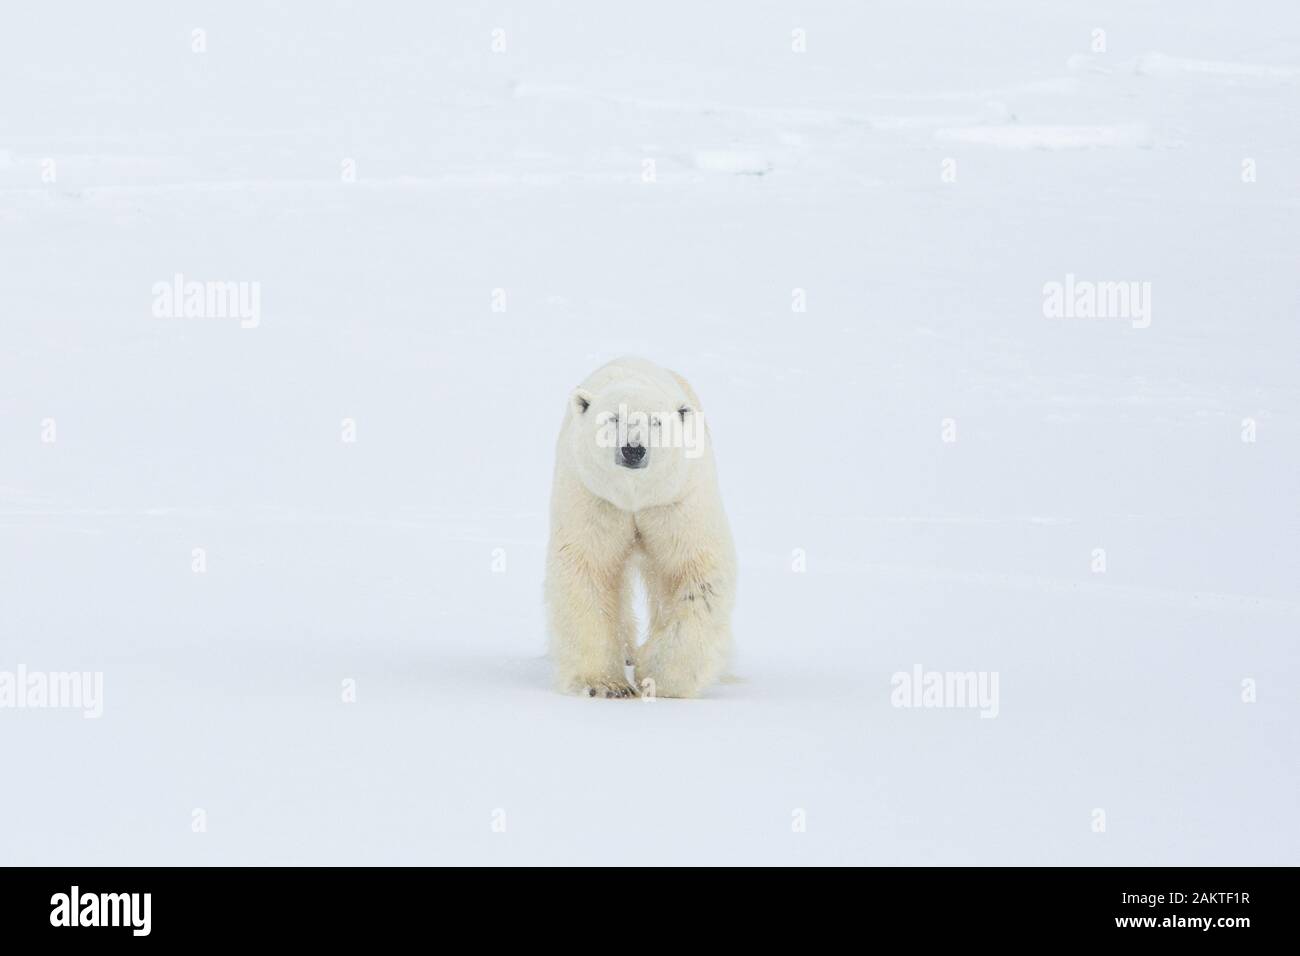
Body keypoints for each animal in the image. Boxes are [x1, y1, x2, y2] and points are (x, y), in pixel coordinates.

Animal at [544, 357, 736, 699]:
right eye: (613, 418)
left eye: (656, 422)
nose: (633, 449)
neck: (633, 497)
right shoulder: (596, 498)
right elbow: (587, 567)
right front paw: (606, 685)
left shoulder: (673, 499)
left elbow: (695, 571)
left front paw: (660, 679)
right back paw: (626, 653)